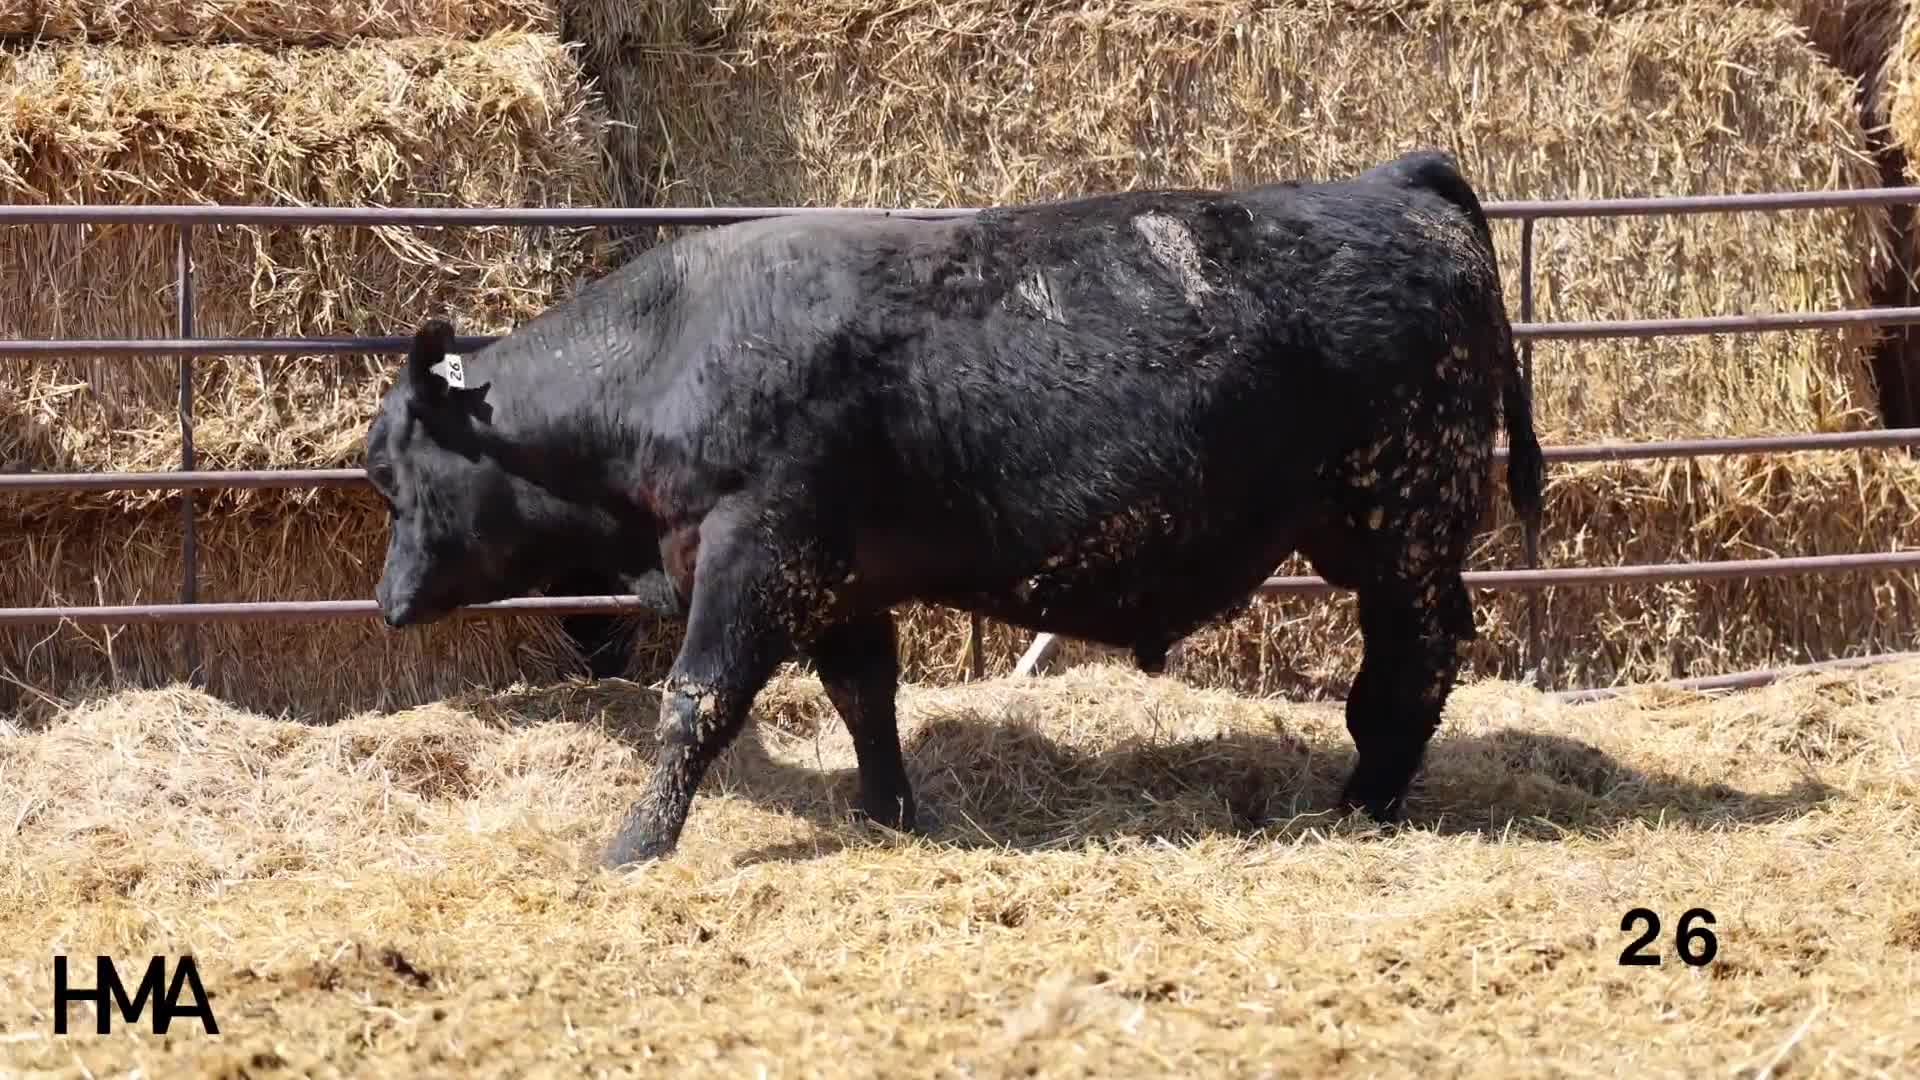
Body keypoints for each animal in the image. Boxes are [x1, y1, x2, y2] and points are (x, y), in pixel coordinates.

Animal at [363, 149, 1545, 867]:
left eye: (389, 471)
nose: (385, 604)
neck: (671, 356)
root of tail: (1396, 182)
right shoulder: (839, 583)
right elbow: (865, 700)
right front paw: (890, 816)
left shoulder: (756, 557)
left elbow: (695, 705)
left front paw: (633, 848)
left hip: (1403, 525)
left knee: (1414, 663)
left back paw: (1364, 805)